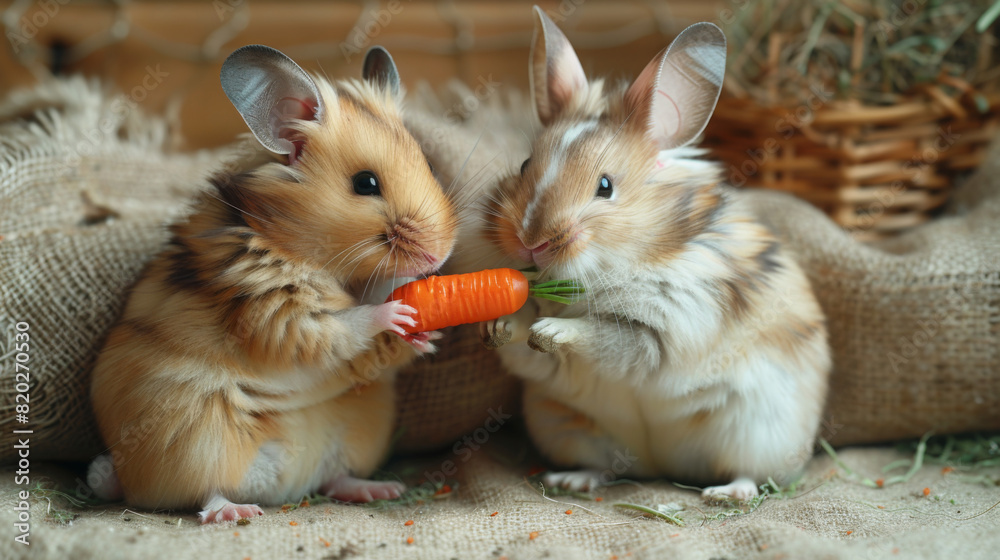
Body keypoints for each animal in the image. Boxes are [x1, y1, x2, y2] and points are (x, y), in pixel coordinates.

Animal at [87, 45, 457, 523]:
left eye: (427, 164)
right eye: (366, 183)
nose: (440, 255)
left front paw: (424, 331)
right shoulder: (276, 313)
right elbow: (341, 325)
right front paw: (397, 313)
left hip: (361, 422)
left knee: (334, 478)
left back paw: (379, 489)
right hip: (199, 440)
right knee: (203, 493)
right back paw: (235, 513)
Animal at [481, 9, 831, 501]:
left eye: (605, 186)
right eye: (525, 165)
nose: (530, 241)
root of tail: (662, 467)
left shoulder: (661, 332)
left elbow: (599, 334)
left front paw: (550, 330)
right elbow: (521, 337)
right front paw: (496, 326)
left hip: (758, 433)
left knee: (751, 474)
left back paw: (723, 494)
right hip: (567, 424)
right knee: (605, 466)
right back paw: (572, 480)